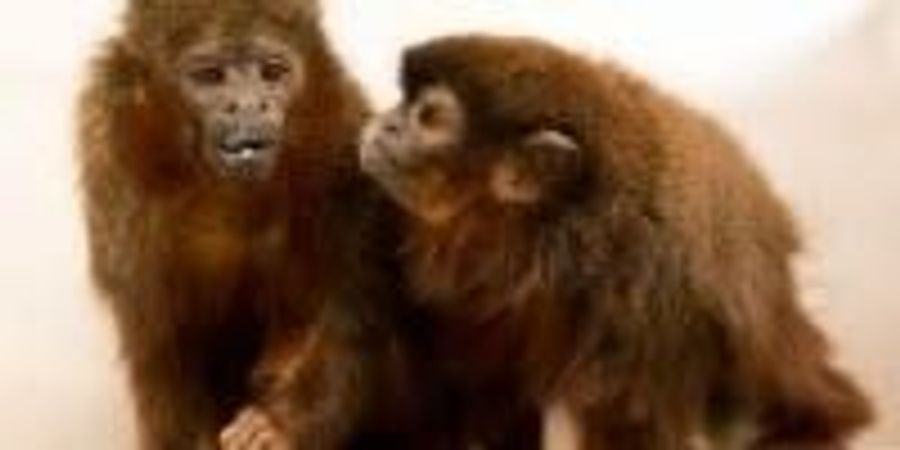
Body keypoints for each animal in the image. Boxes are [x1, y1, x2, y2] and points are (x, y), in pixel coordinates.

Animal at [76, 0, 404, 448]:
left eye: (272, 72)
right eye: (211, 77)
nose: (250, 105)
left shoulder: (341, 147)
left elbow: (348, 310)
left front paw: (278, 424)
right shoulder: (113, 155)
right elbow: (162, 343)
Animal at [359, 35, 874, 450]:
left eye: (428, 117)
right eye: (404, 105)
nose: (387, 124)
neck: (551, 238)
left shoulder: (643, 302)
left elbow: (629, 419)